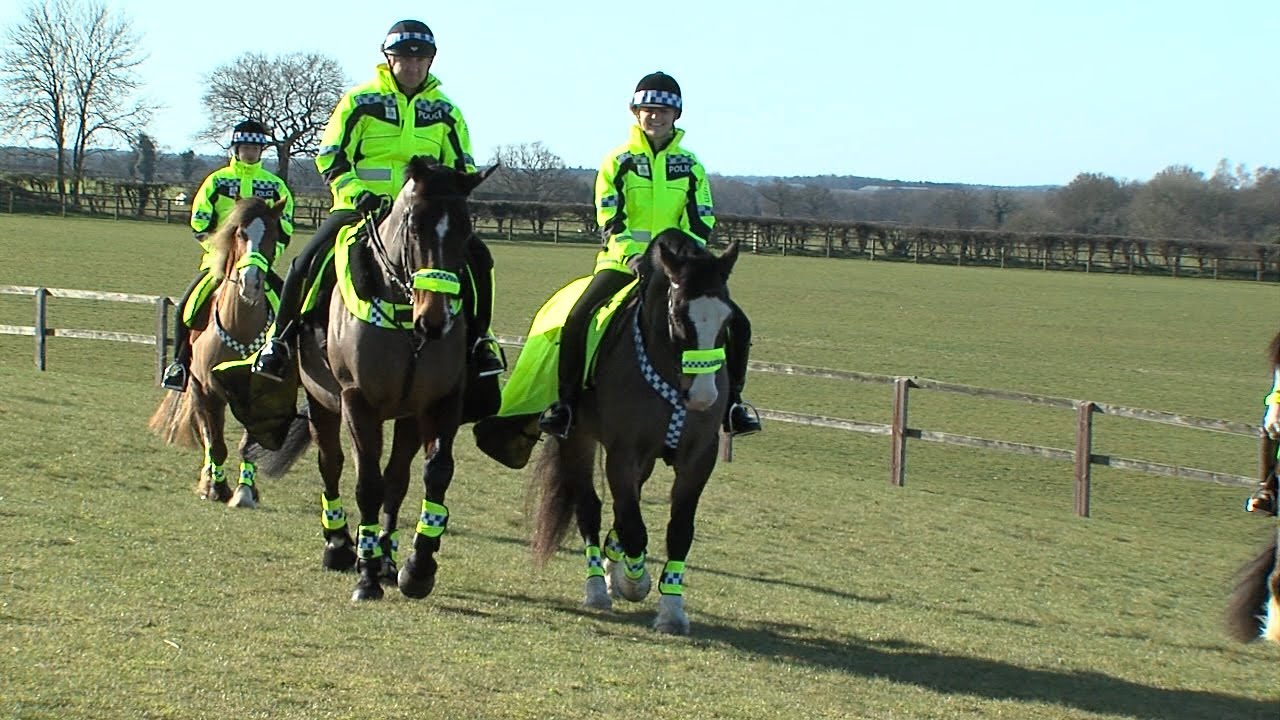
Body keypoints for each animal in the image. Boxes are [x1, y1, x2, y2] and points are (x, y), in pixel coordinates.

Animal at [149, 196, 286, 508]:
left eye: (273, 236)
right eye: (240, 233)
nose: (251, 283)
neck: (240, 328)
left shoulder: (259, 397)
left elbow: (249, 445)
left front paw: (245, 492)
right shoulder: (205, 390)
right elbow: (215, 444)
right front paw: (215, 488)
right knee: (208, 436)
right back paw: (208, 479)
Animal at [528, 230, 741, 635]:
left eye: (727, 320)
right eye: (679, 315)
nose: (704, 397)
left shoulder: (698, 459)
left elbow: (677, 530)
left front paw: (672, 610)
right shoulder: (622, 453)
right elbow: (632, 527)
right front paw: (633, 581)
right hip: (577, 440)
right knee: (592, 511)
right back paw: (598, 588)